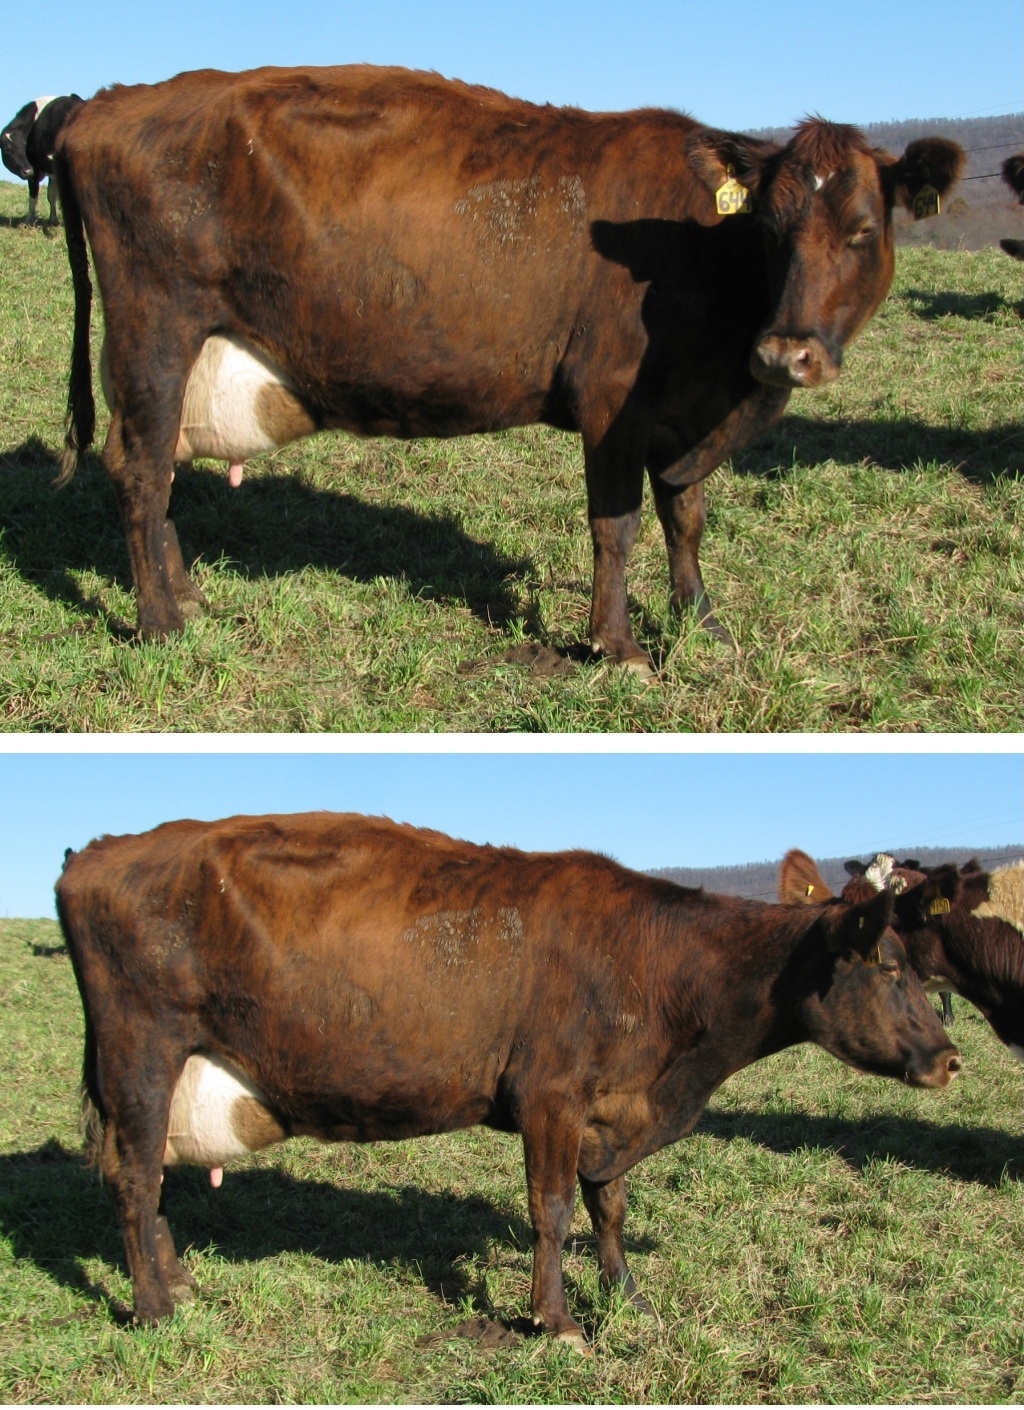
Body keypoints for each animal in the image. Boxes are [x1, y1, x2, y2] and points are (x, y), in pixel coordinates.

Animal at [1, 95, 82, 224]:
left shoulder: (36, 170)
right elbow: (52, 195)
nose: (28, 171)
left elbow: (33, 197)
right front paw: (53, 220)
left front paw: (28, 220)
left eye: (26, 146)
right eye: (7, 149)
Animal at [53, 66, 964, 672]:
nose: (785, 352)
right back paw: (160, 623)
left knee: (159, 468)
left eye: (861, 231)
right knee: (140, 471)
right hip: (155, 328)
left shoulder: (687, 412)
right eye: (773, 229)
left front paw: (700, 623)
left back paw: (186, 596)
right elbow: (617, 525)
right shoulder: (613, 402)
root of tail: (109, 101)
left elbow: (688, 515)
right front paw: (618, 645)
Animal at [56, 811, 961, 1344]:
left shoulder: (612, 1109)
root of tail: (100, 851)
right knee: (134, 1179)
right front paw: (555, 1319)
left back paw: (178, 1279)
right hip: (140, 1051)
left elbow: (611, 1206)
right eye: (886, 964)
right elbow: (552, 1211)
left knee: (146, 1178)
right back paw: (153, 1308)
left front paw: (626, 1295)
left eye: (920, 962)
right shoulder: (550, 1098)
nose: (951, 1058)